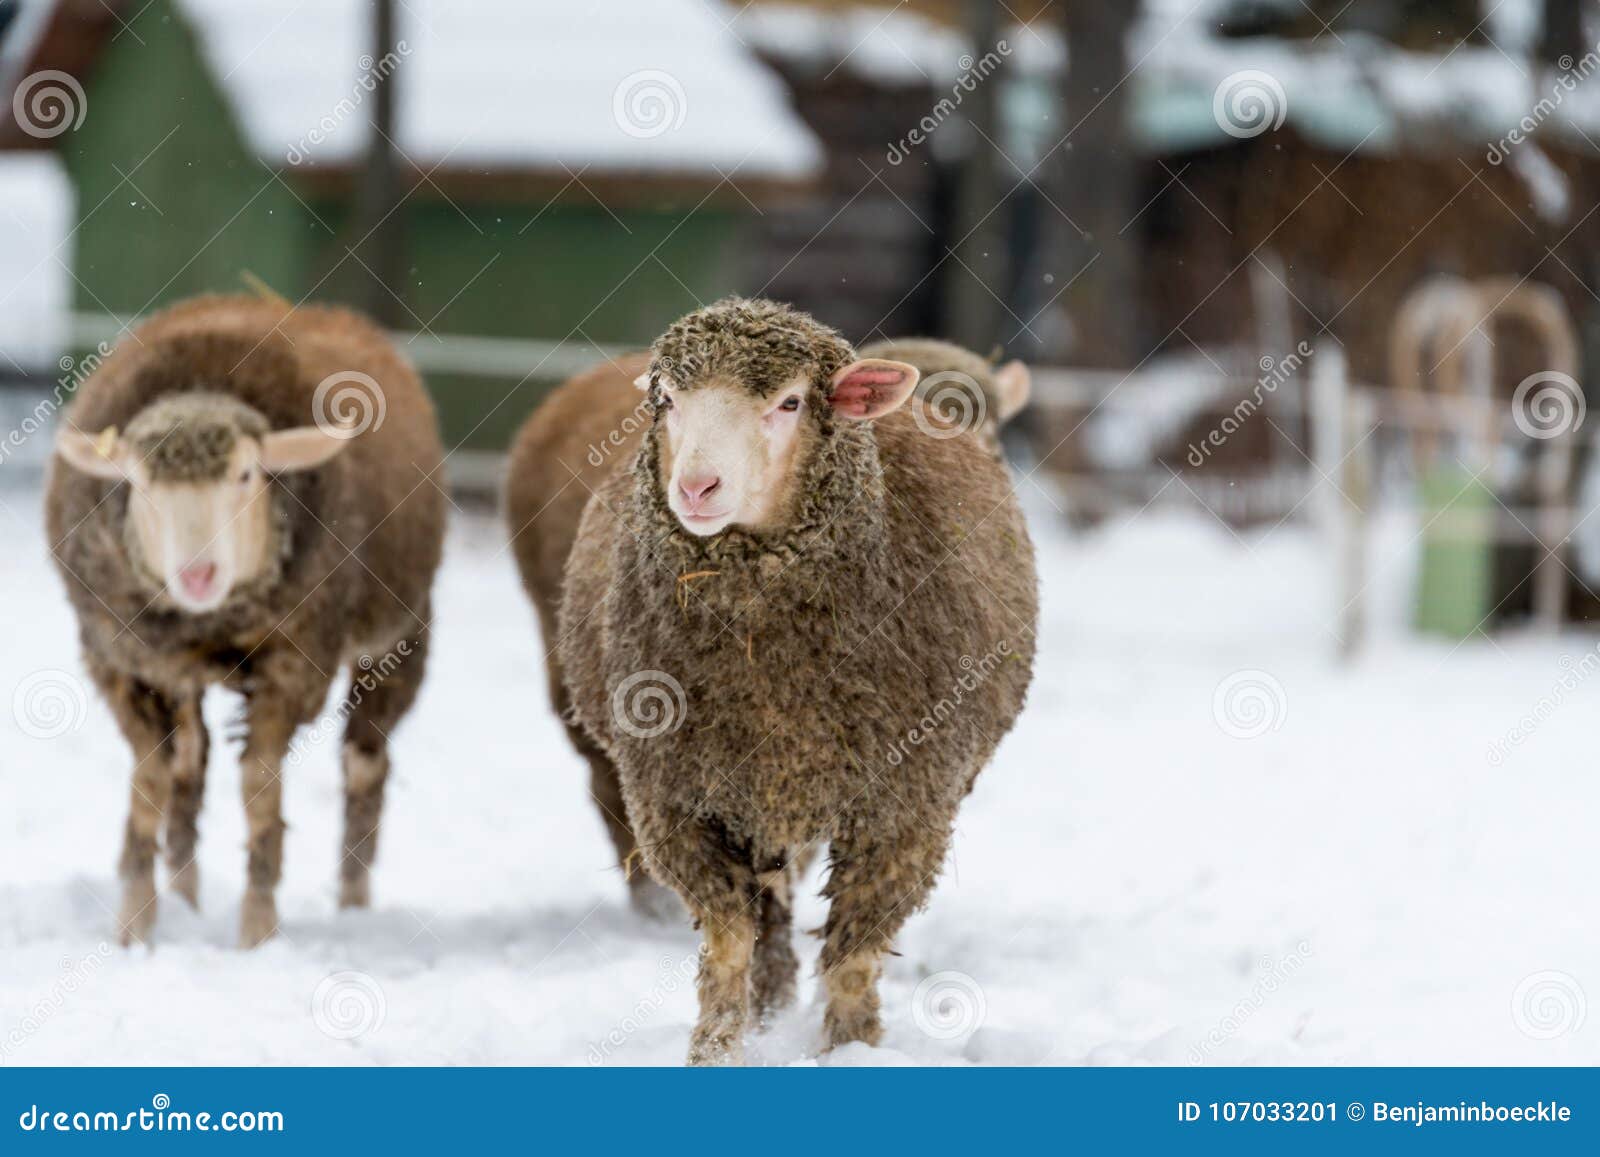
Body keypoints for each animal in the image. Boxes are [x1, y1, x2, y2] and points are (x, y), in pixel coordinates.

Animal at [46, 294, 445, 948]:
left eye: (245, 476)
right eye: (140, 485)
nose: (197, 574)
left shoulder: (295, 662)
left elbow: (259, 786)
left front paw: (258, 925)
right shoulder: (120, 660)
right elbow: (153, 779)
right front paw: (136, 925)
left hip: (400, 633)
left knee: (365, 765)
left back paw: (354, 904)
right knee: (190, 763)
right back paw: (184, 896)